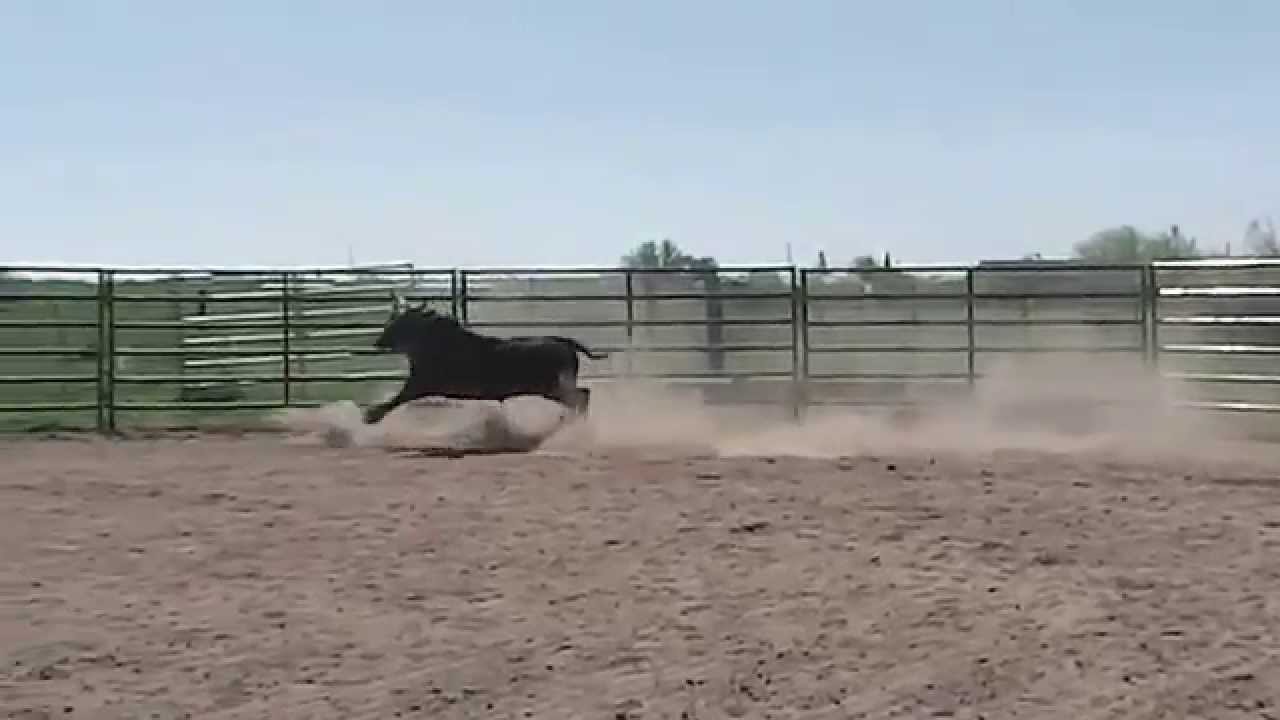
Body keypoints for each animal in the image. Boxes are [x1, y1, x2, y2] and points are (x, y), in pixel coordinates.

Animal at [361, 293, 608, 425]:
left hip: (553, 386)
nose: (378, 342)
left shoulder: (422, 383)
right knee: (582, 395)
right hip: (552, 388)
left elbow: (398, 398)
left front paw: (371, 416)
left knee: (581, 397)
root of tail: (565, 342)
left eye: (402, 321)